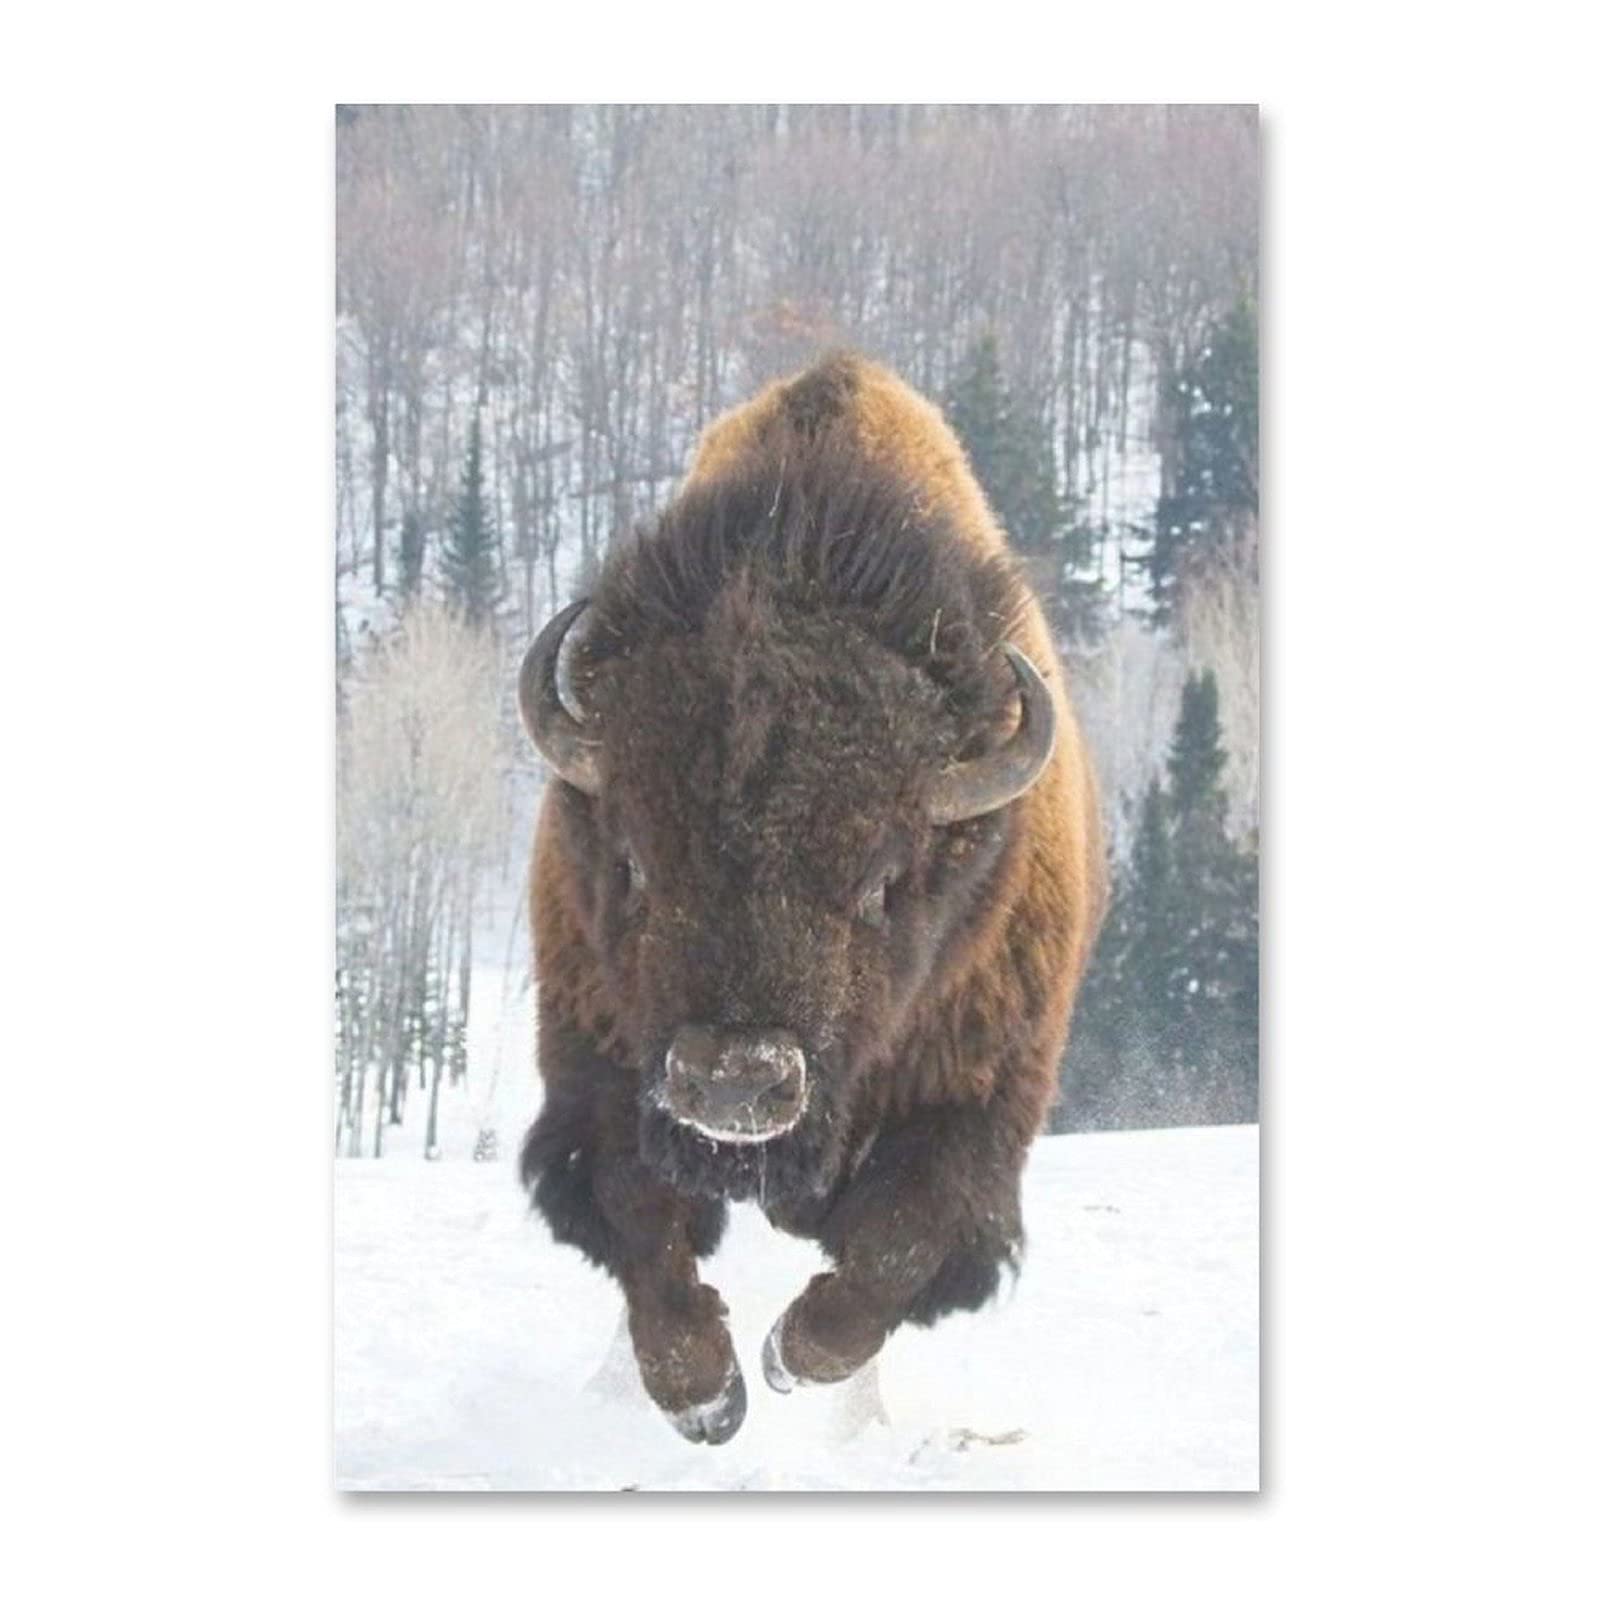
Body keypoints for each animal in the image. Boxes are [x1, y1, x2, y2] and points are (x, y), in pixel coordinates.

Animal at [518, 353, 1105, 1443]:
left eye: (881, 880)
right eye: (635, 862)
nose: (733, 1082)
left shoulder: (979, 1096)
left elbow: (902, 1243)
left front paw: (790, 1359)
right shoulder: (601, 1064)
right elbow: (638, 1219)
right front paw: (705, 1396)